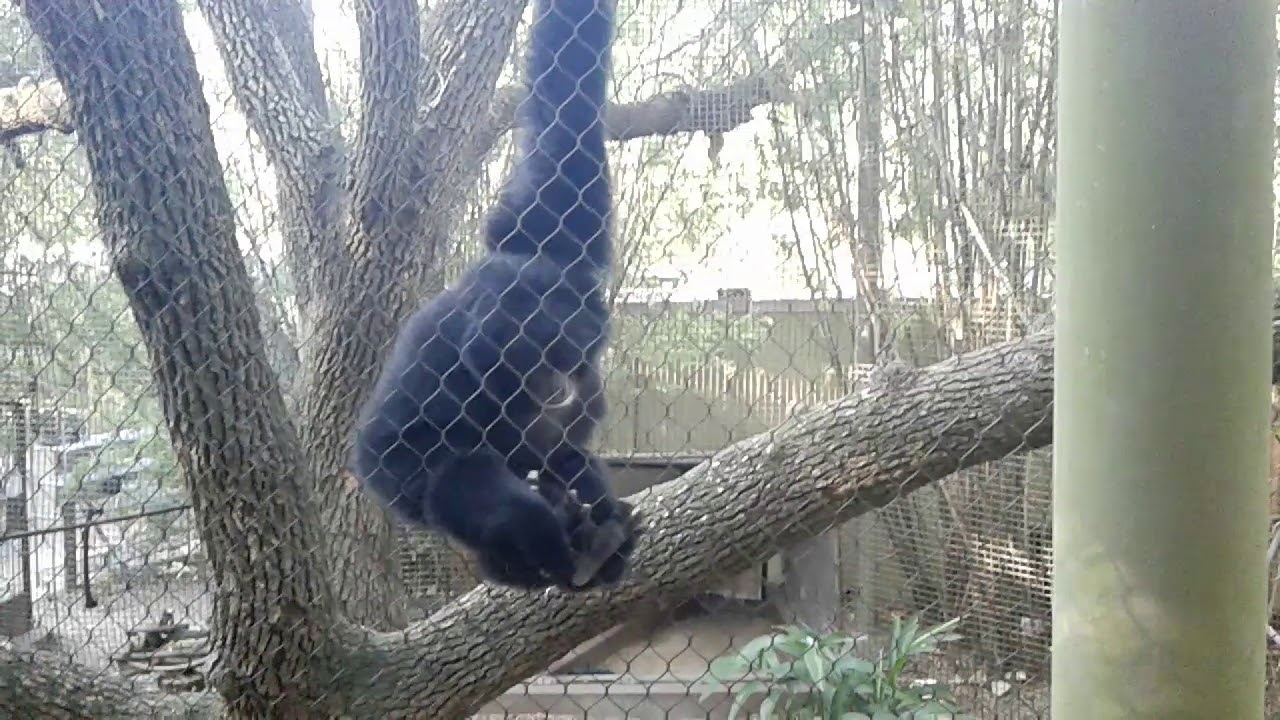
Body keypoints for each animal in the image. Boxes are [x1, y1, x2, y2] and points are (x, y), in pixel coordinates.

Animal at [349, 0, 637, 592]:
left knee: (567, 461)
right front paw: (527, 517)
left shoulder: (551, 253)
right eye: (531, 363)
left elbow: (565, 112)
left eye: (565, 351)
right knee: (458, 472)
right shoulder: (443, 361)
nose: (557, 387)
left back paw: (596, 533)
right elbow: (396, 455)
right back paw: (554, 538)